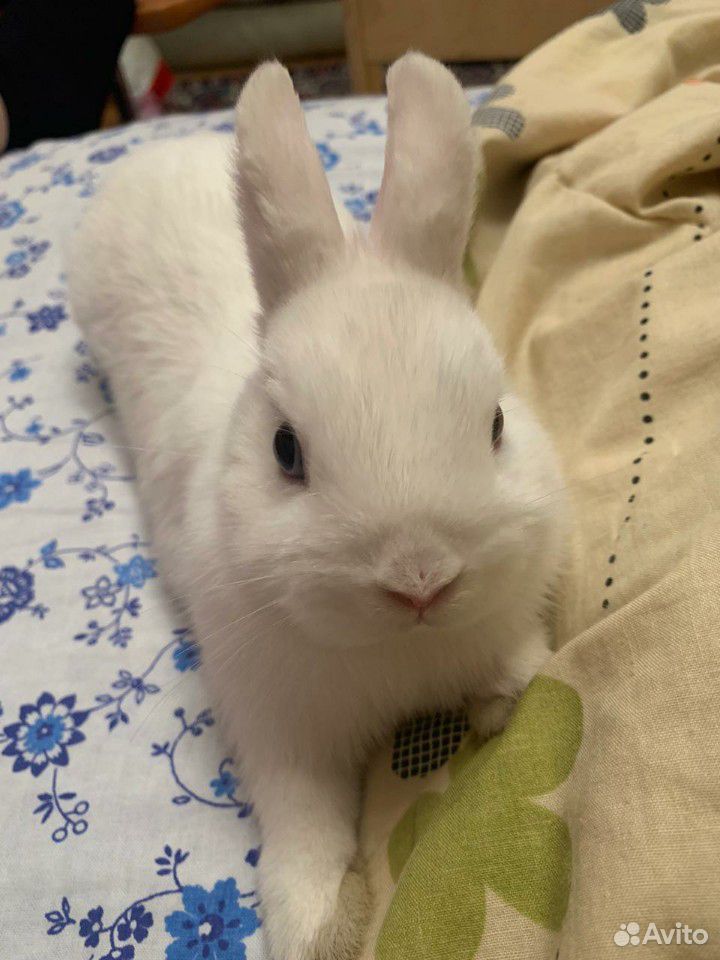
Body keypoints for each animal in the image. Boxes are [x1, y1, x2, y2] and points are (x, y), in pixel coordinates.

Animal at [69, 52, 566, 960]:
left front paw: (500, 705)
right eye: (285, 450)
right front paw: (320, 927)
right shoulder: (279, 729)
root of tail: (153, 155)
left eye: (496, 424)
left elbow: (520, 663)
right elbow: (305, 831)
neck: (398, 650)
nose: (420, 579)